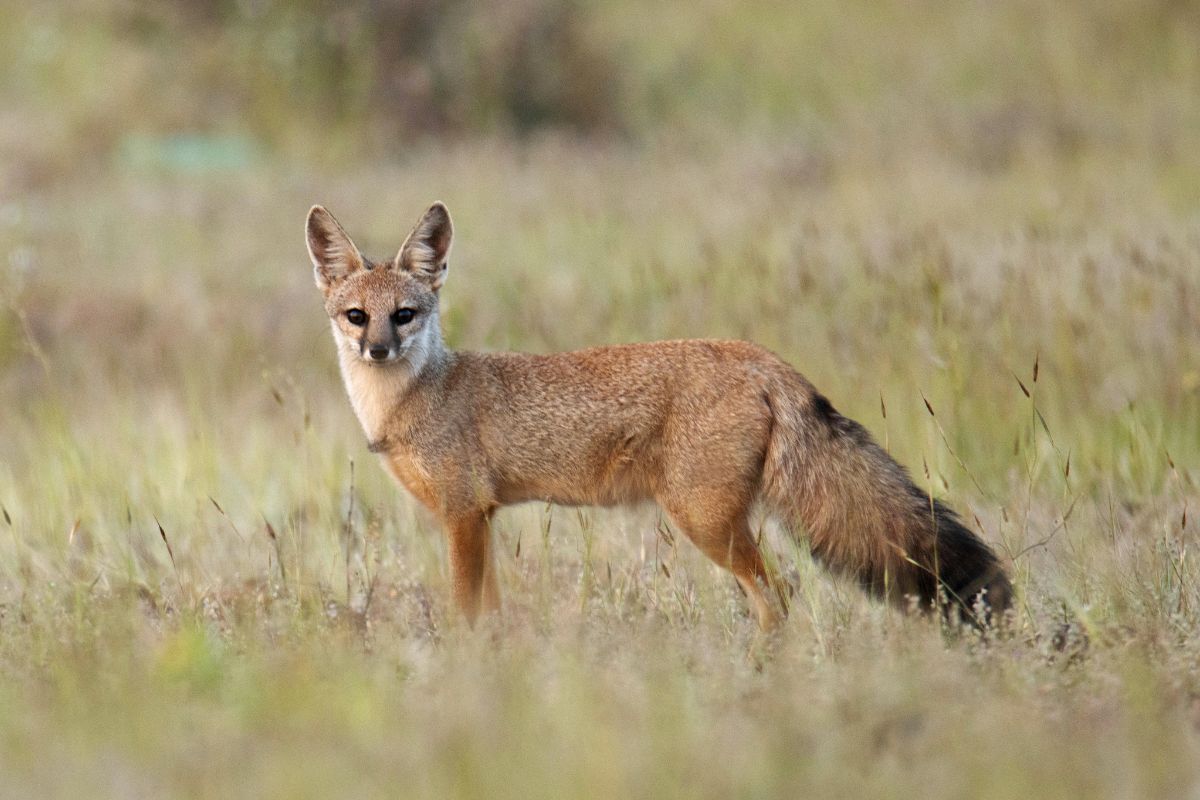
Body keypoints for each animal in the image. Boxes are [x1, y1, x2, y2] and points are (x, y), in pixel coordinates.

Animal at [306, 202, 1012, 631]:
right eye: (356, 316)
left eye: (404, 316)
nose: (377, 349)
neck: (415, 396)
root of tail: (758, 356)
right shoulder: (481, 518)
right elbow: (495, 616)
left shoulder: (462, 517)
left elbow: (465, 617)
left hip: (705, 523)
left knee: (778, 599)